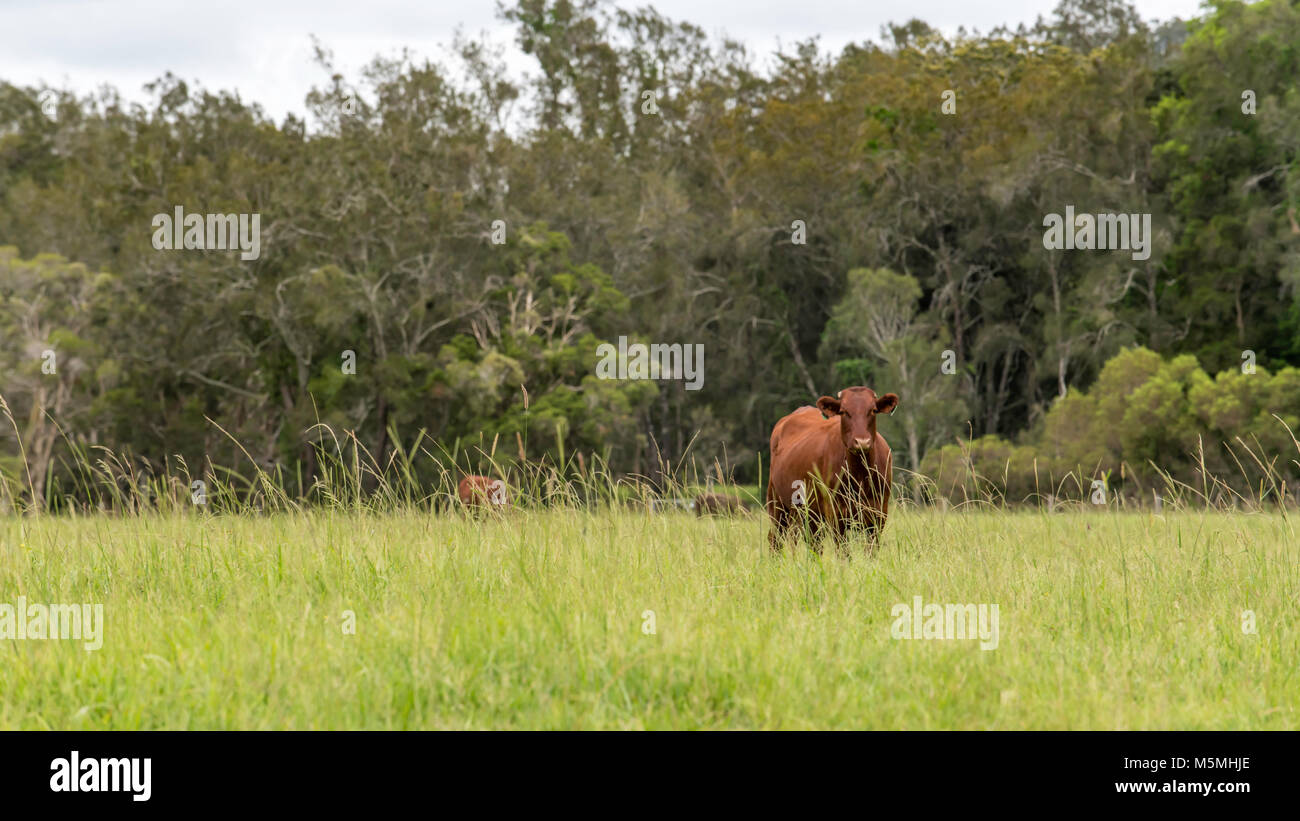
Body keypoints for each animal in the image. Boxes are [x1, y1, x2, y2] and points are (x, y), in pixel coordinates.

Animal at [765, 386, 899, 553]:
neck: (860, 475)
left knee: (813, 544)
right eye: (843, 411)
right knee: (775, 539)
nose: (862, 442)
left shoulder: (878, 515)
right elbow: (843, 552)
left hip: (810, 515)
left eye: (873, 410)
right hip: (777, 504)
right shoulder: (836, 515)